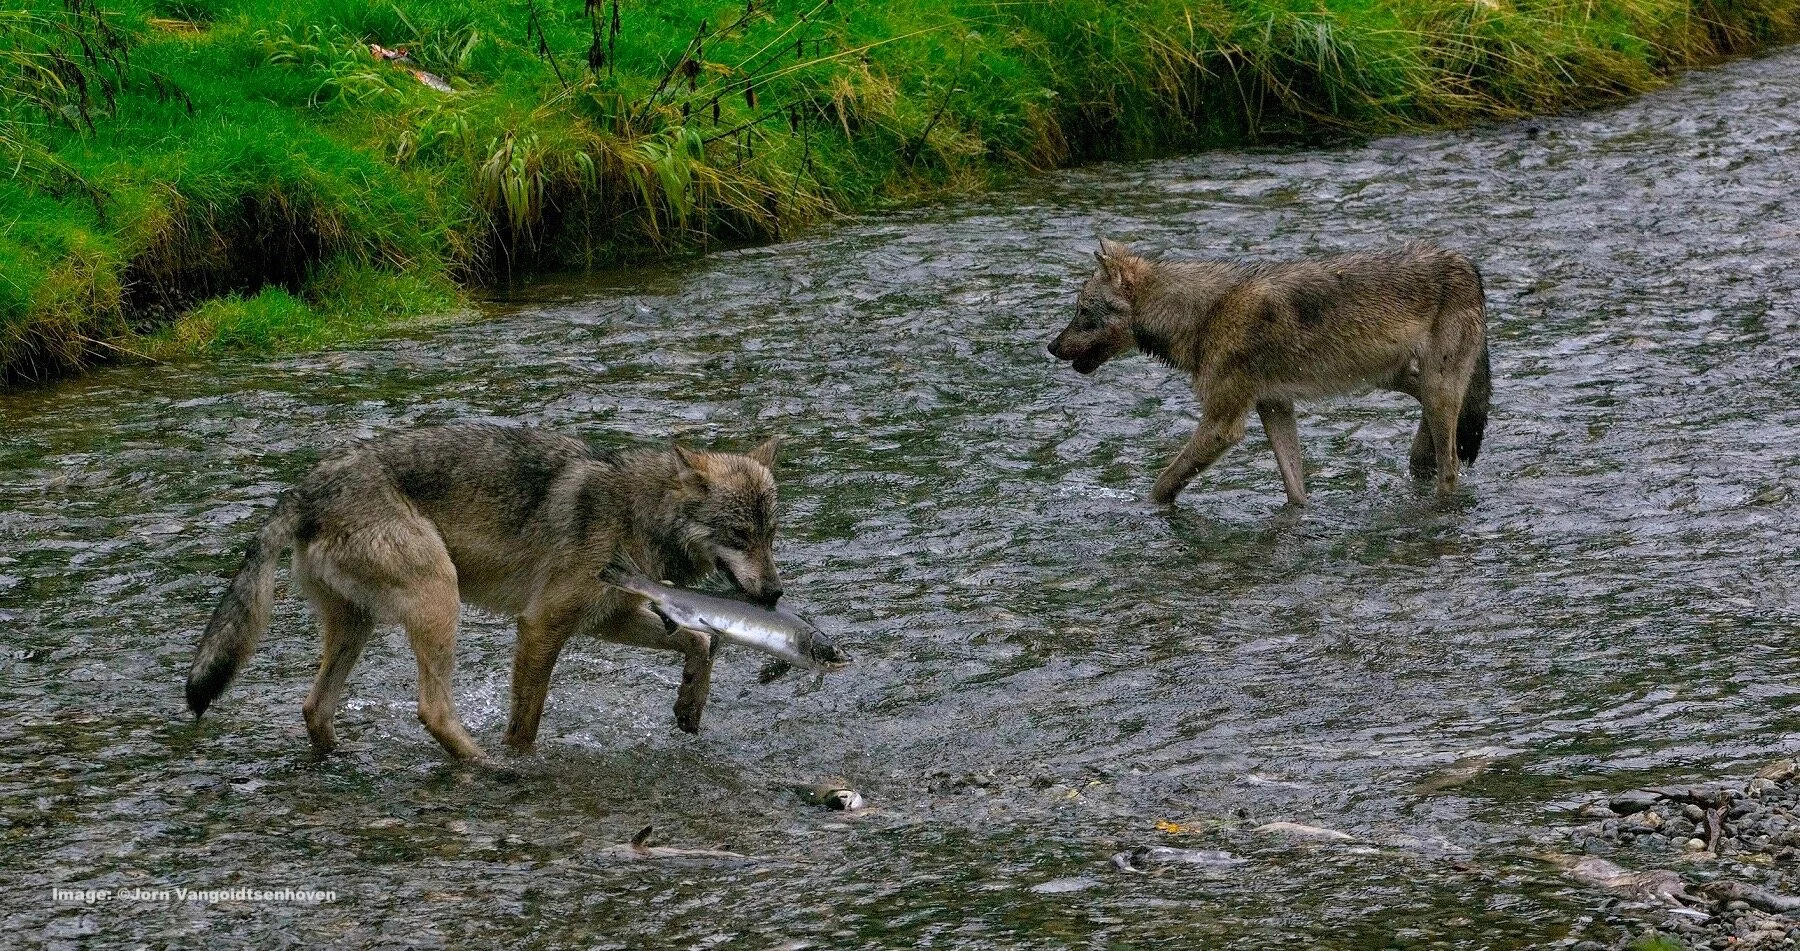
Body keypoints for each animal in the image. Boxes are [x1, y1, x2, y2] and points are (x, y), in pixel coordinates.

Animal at [184, 423, 783, 761]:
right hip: (439, 597)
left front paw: (689, 706)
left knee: (314, 707)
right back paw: (488, 768)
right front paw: (520, 760)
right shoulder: (541, 624)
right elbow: (525, 724)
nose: (776, 594)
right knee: (431, 709)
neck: (637, 511)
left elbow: (703, 642)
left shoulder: (606, 619)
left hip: (360, 626)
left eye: (771, 534)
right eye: (739, 535)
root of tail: (305, 487)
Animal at [1048, 238, 1491, 505]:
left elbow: (1163, 484)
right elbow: (1295, 490)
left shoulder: (1222, 425)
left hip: (1433, 386)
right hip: (1394, 377)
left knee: (1450, 468)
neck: (1201, 315)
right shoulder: (1275, 406)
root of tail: (1467, 263)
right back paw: (1420, 456)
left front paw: (1142, 510)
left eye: (1082, 312)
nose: (1051, 347)